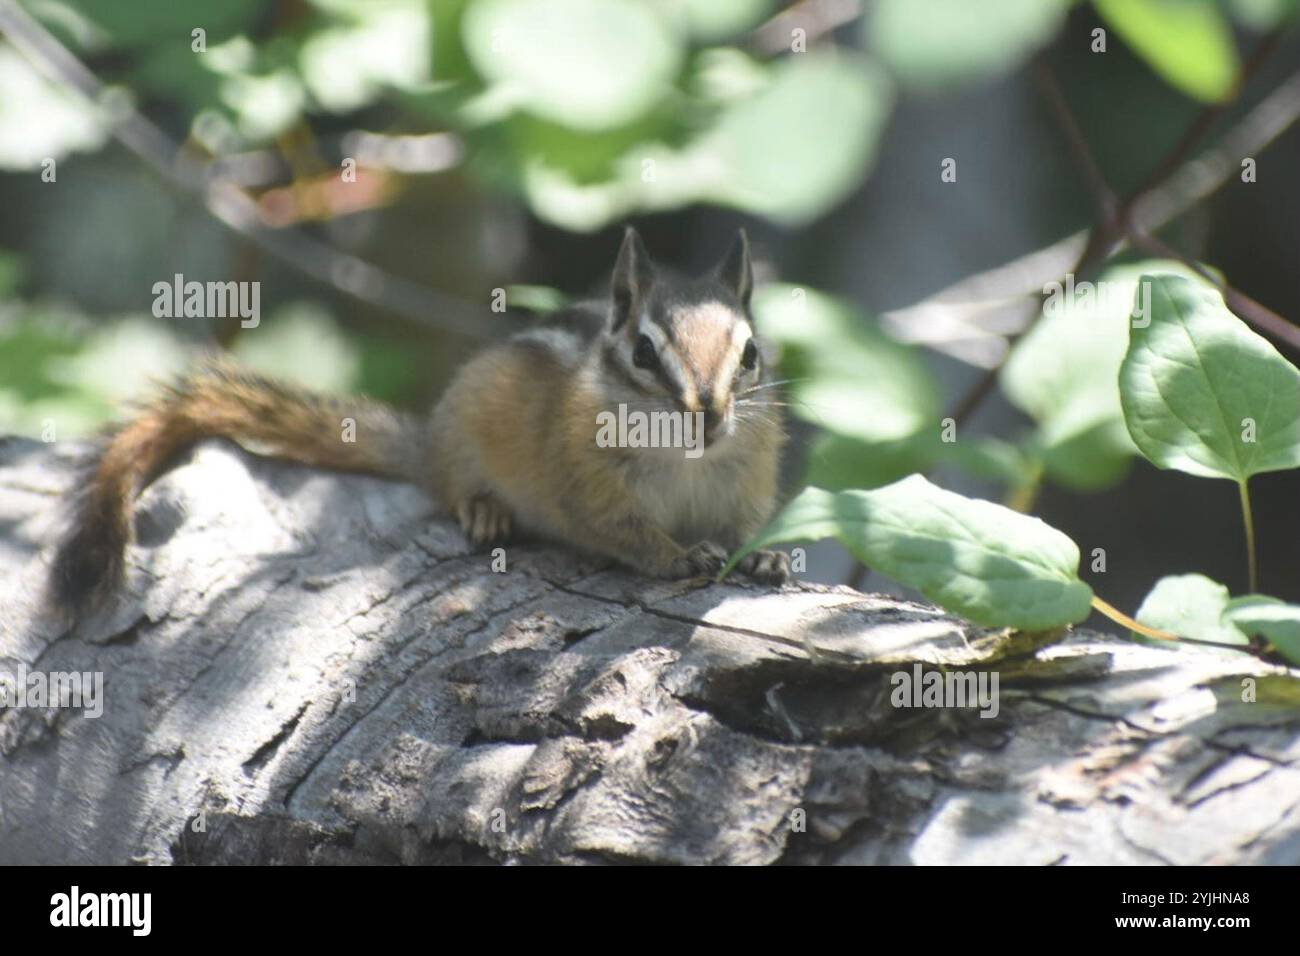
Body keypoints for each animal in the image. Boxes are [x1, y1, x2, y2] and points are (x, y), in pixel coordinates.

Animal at [50, 226, 790, 615]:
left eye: (750, 352)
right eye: (643, 353)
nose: (708, 414)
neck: (685, 459)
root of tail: (427, 442)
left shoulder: (748, 479)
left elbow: (744, 526)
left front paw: (766, 555)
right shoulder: (585, 479)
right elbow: (622, 531)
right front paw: (677, 554)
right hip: (464, 441)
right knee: (453, 488)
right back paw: (485, 509)